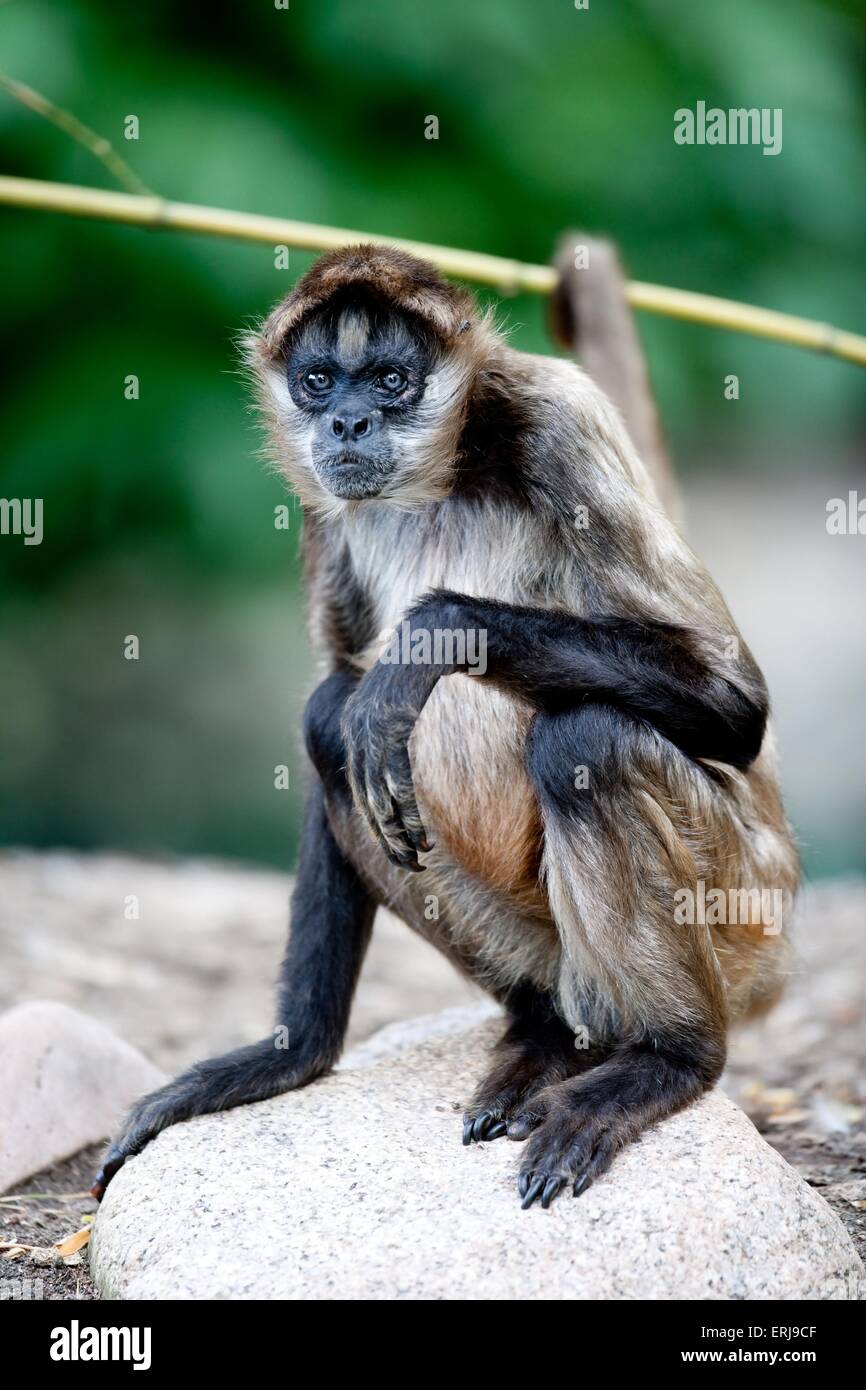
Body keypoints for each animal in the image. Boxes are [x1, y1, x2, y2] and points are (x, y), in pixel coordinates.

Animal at [95, 241, 798, 1209]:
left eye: (392, 380)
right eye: (319, 381)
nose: (348, 423)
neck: (440, 479)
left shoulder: (558, 415)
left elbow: (735, 704)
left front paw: (431, 636)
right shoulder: (320, 502)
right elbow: (338, 703)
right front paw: (290, 1056)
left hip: (740, 908)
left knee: (584, 742)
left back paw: (668, 1058)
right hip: (554, 949)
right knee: (332, 724)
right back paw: (547, 1035)